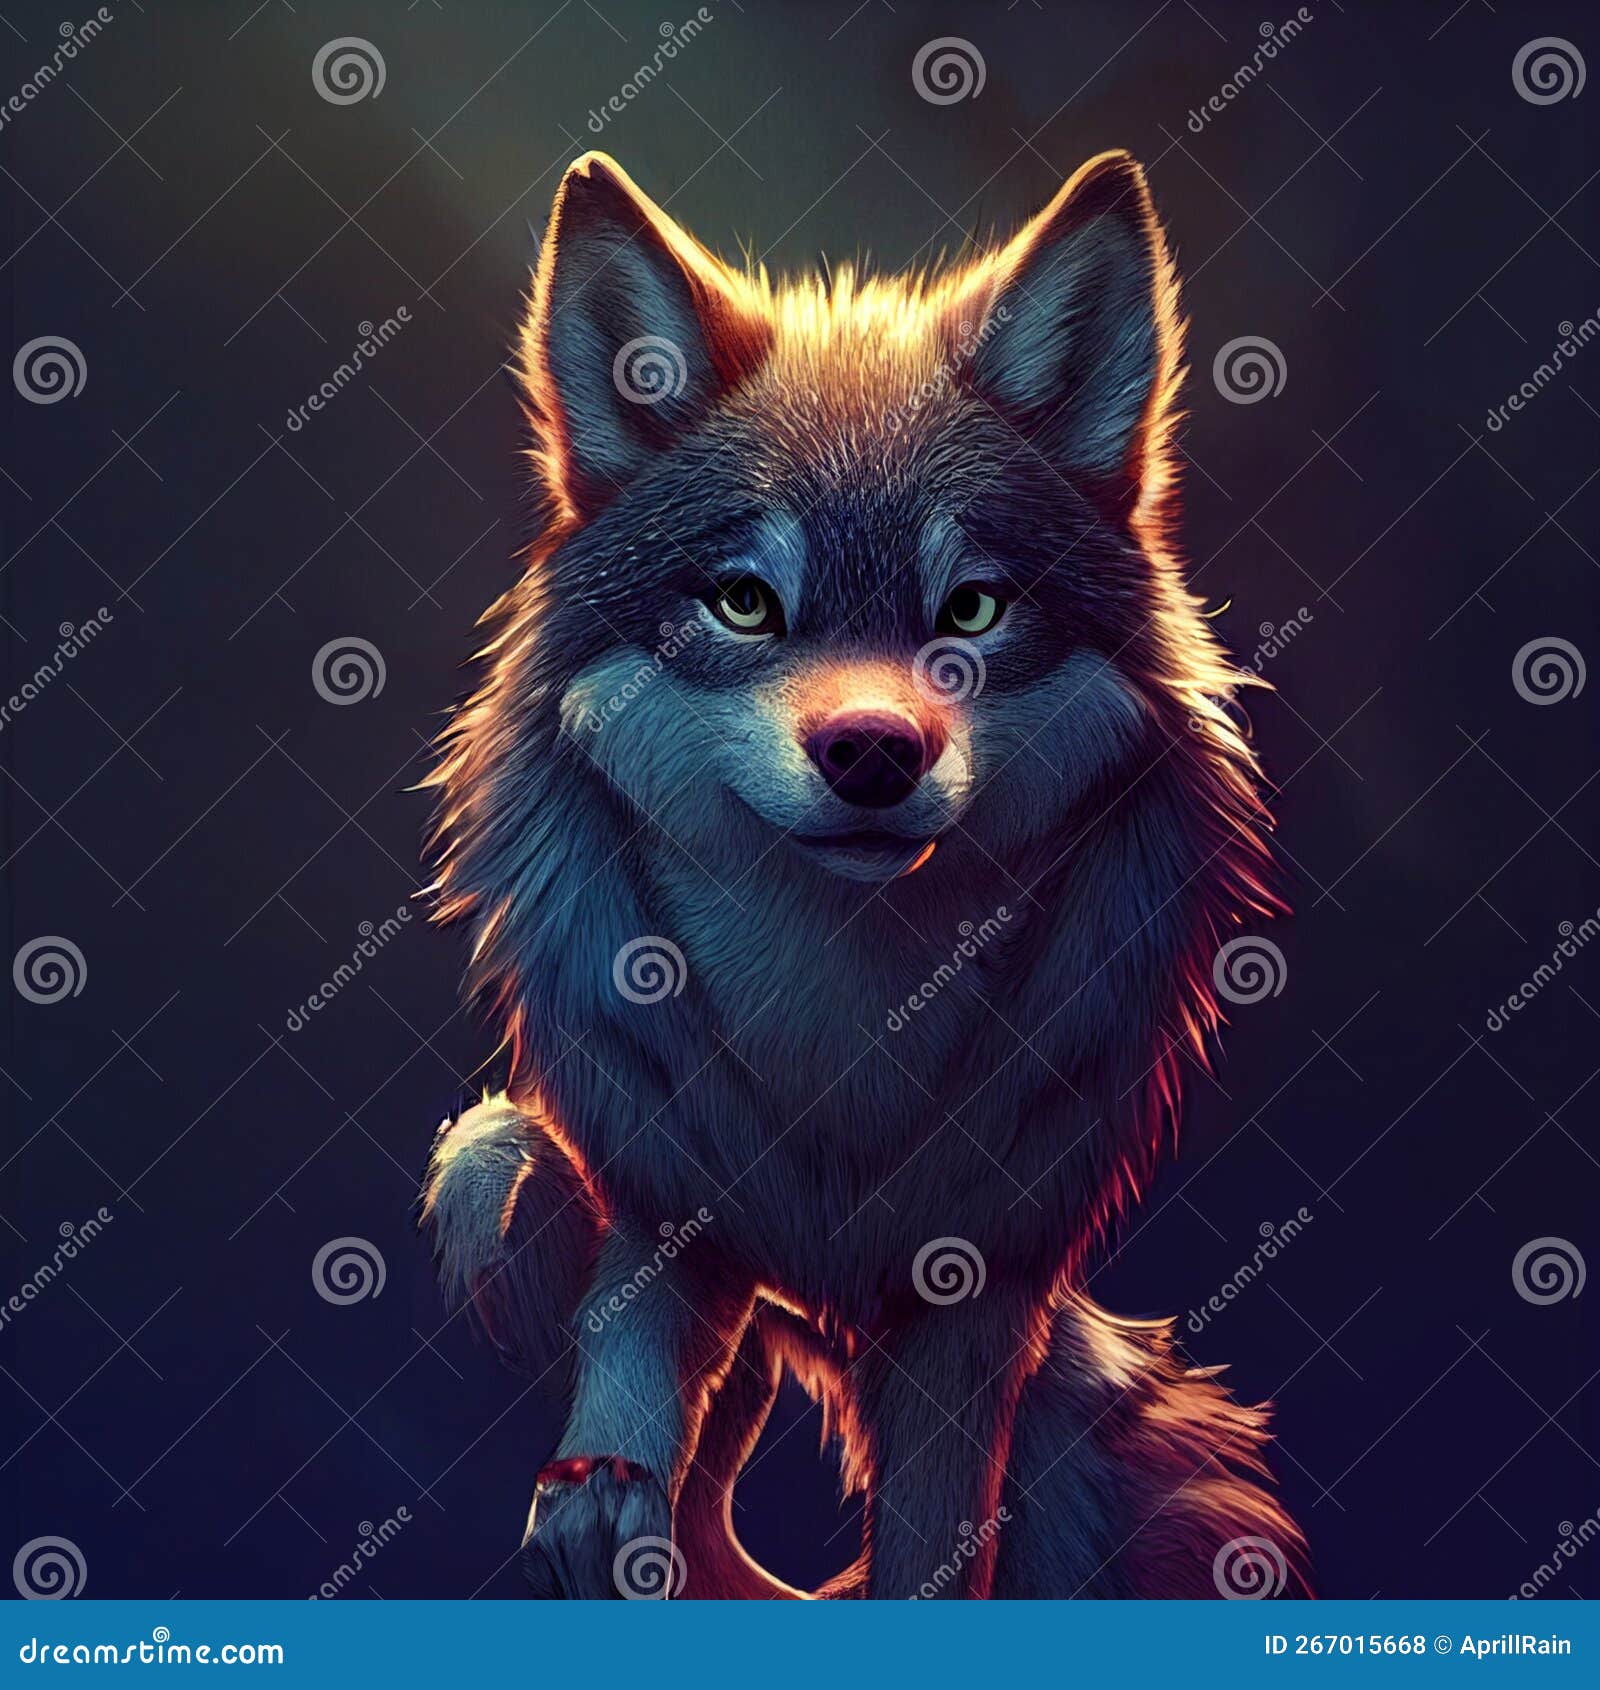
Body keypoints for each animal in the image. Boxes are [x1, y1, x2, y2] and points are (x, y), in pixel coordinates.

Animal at [418, 148, 1309, 1599]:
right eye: (743, 602)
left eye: (972, 609)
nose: (873, 752)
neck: (843, 1024)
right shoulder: (668, 1172)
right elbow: (634, 1324)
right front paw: (600, 1487)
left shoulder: (985, 1273)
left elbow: (938, 1518)